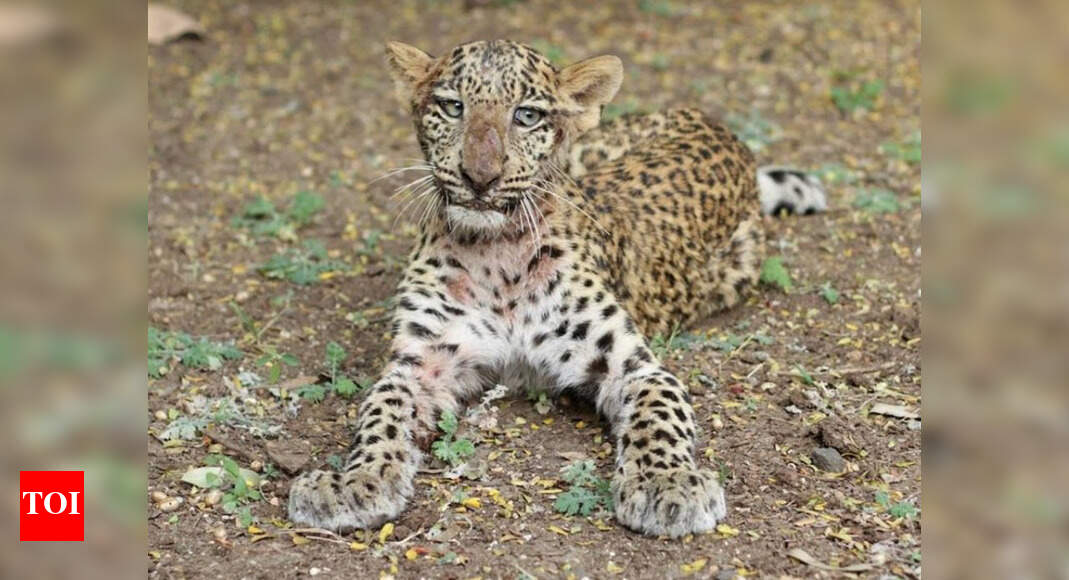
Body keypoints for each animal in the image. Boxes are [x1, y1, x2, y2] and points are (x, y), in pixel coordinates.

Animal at [288, 39, 826, 538]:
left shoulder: (632, 366)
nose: (479, 178)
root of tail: (712, 123)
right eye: (453, 107)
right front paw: (352, 483)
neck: (496, 256)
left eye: (526, 116)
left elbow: (659, 416)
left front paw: (666, 485)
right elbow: (379, 414)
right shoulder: (422, 362)